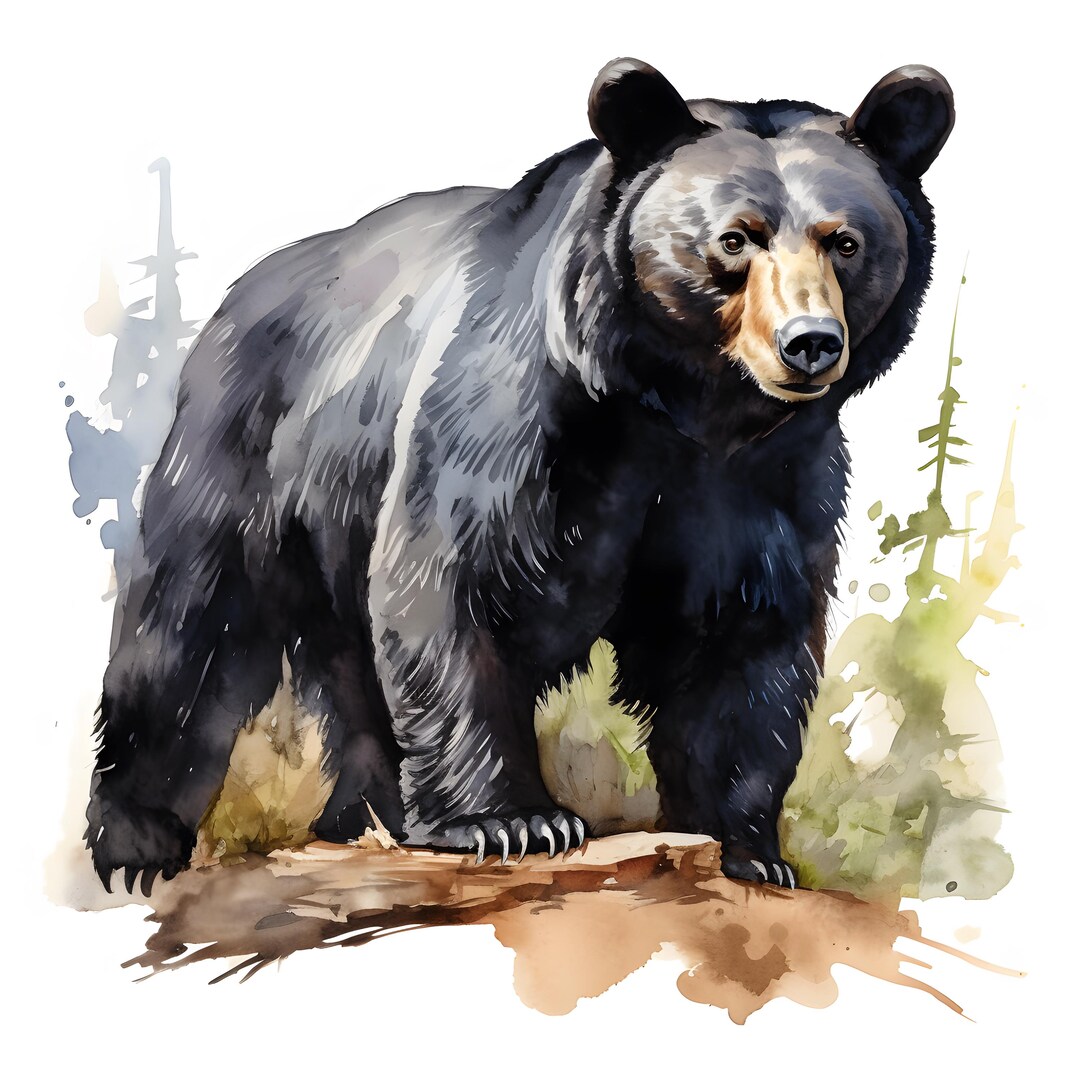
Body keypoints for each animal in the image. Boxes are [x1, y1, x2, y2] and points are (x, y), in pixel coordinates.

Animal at [86, 58, 954, 895]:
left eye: (846, 242)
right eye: (737, 239)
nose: (810, 342)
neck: (674, 402)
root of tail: (238, 297)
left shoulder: (765, 479)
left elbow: (744, 639)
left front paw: (746, 849)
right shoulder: (516, 417)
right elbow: (455, 582)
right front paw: (512, 822)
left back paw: (368, 816)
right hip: (246, 449)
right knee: (189, 625)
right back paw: (137, 842)